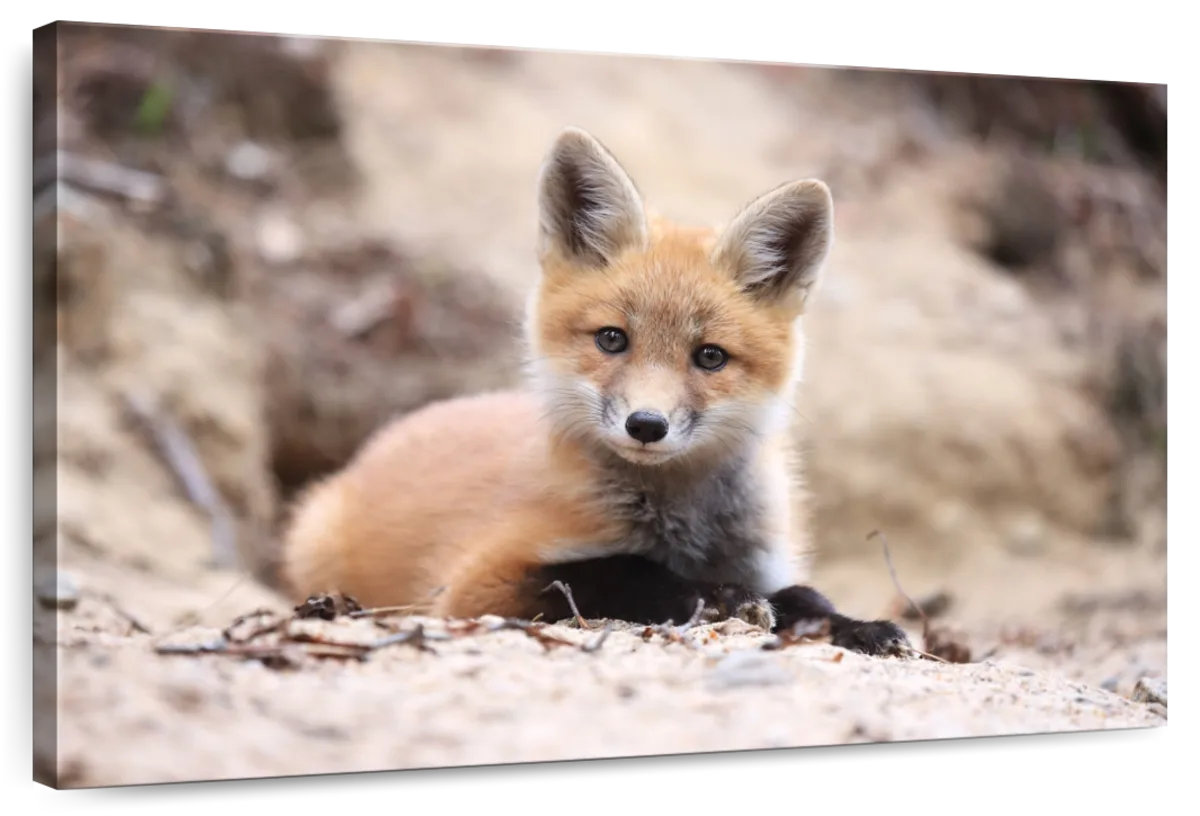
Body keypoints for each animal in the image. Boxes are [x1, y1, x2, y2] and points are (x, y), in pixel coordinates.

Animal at [282, 127, 910, 655]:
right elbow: (617, 571)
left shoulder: (766, 562)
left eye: (710, 356)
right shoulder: (474, 587)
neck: (683, 530)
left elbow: (807, 595)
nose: (646, 425)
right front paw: (720, 598)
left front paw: (860, 626)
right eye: (612, 339)